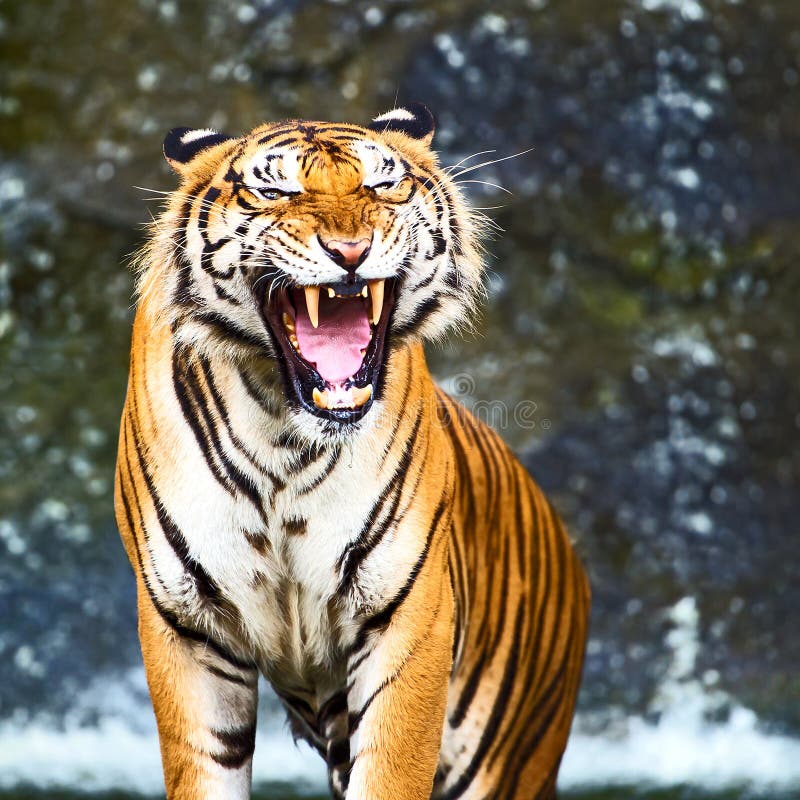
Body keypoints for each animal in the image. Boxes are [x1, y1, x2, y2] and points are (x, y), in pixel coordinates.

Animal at [114, 103, 590, 800]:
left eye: (381, 184)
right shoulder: (186, 628)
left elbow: (392, 767)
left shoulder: (406, 612)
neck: (282, 433)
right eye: (276, 190)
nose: (350, 252)